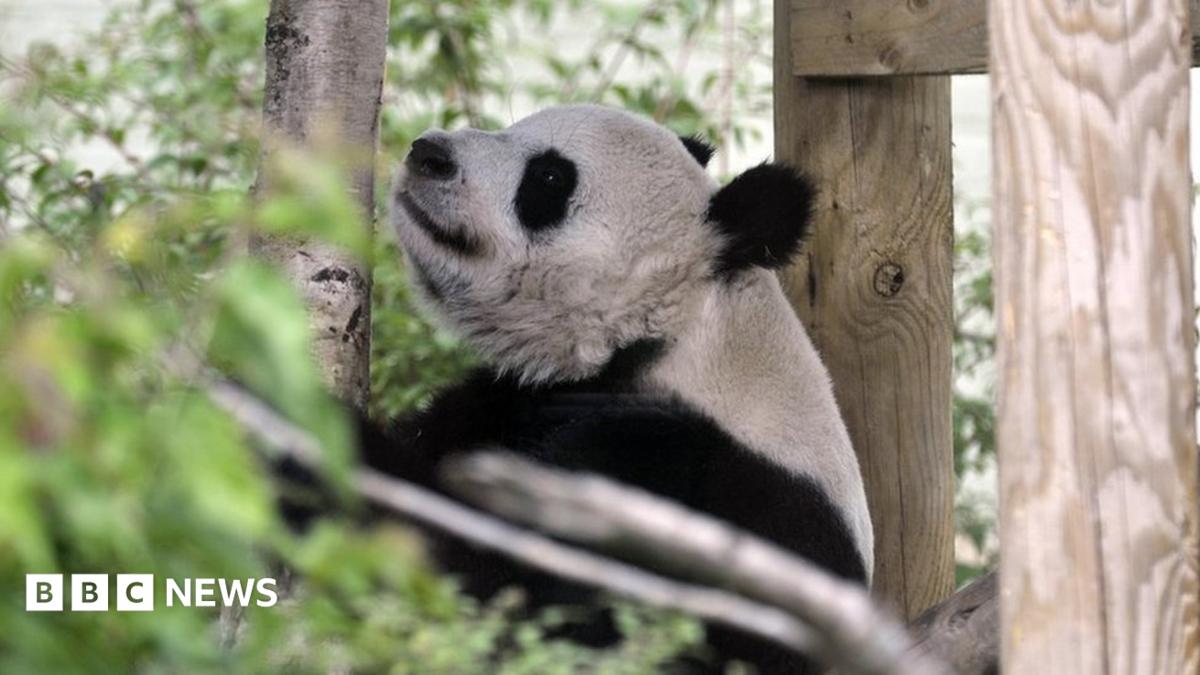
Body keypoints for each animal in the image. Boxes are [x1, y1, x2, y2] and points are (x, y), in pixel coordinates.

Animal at [352, 104, 872, 674]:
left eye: (549, 178)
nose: (428, 154)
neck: (680, 341)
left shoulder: (677, 482)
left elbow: (505, 596)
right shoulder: (514, 397)